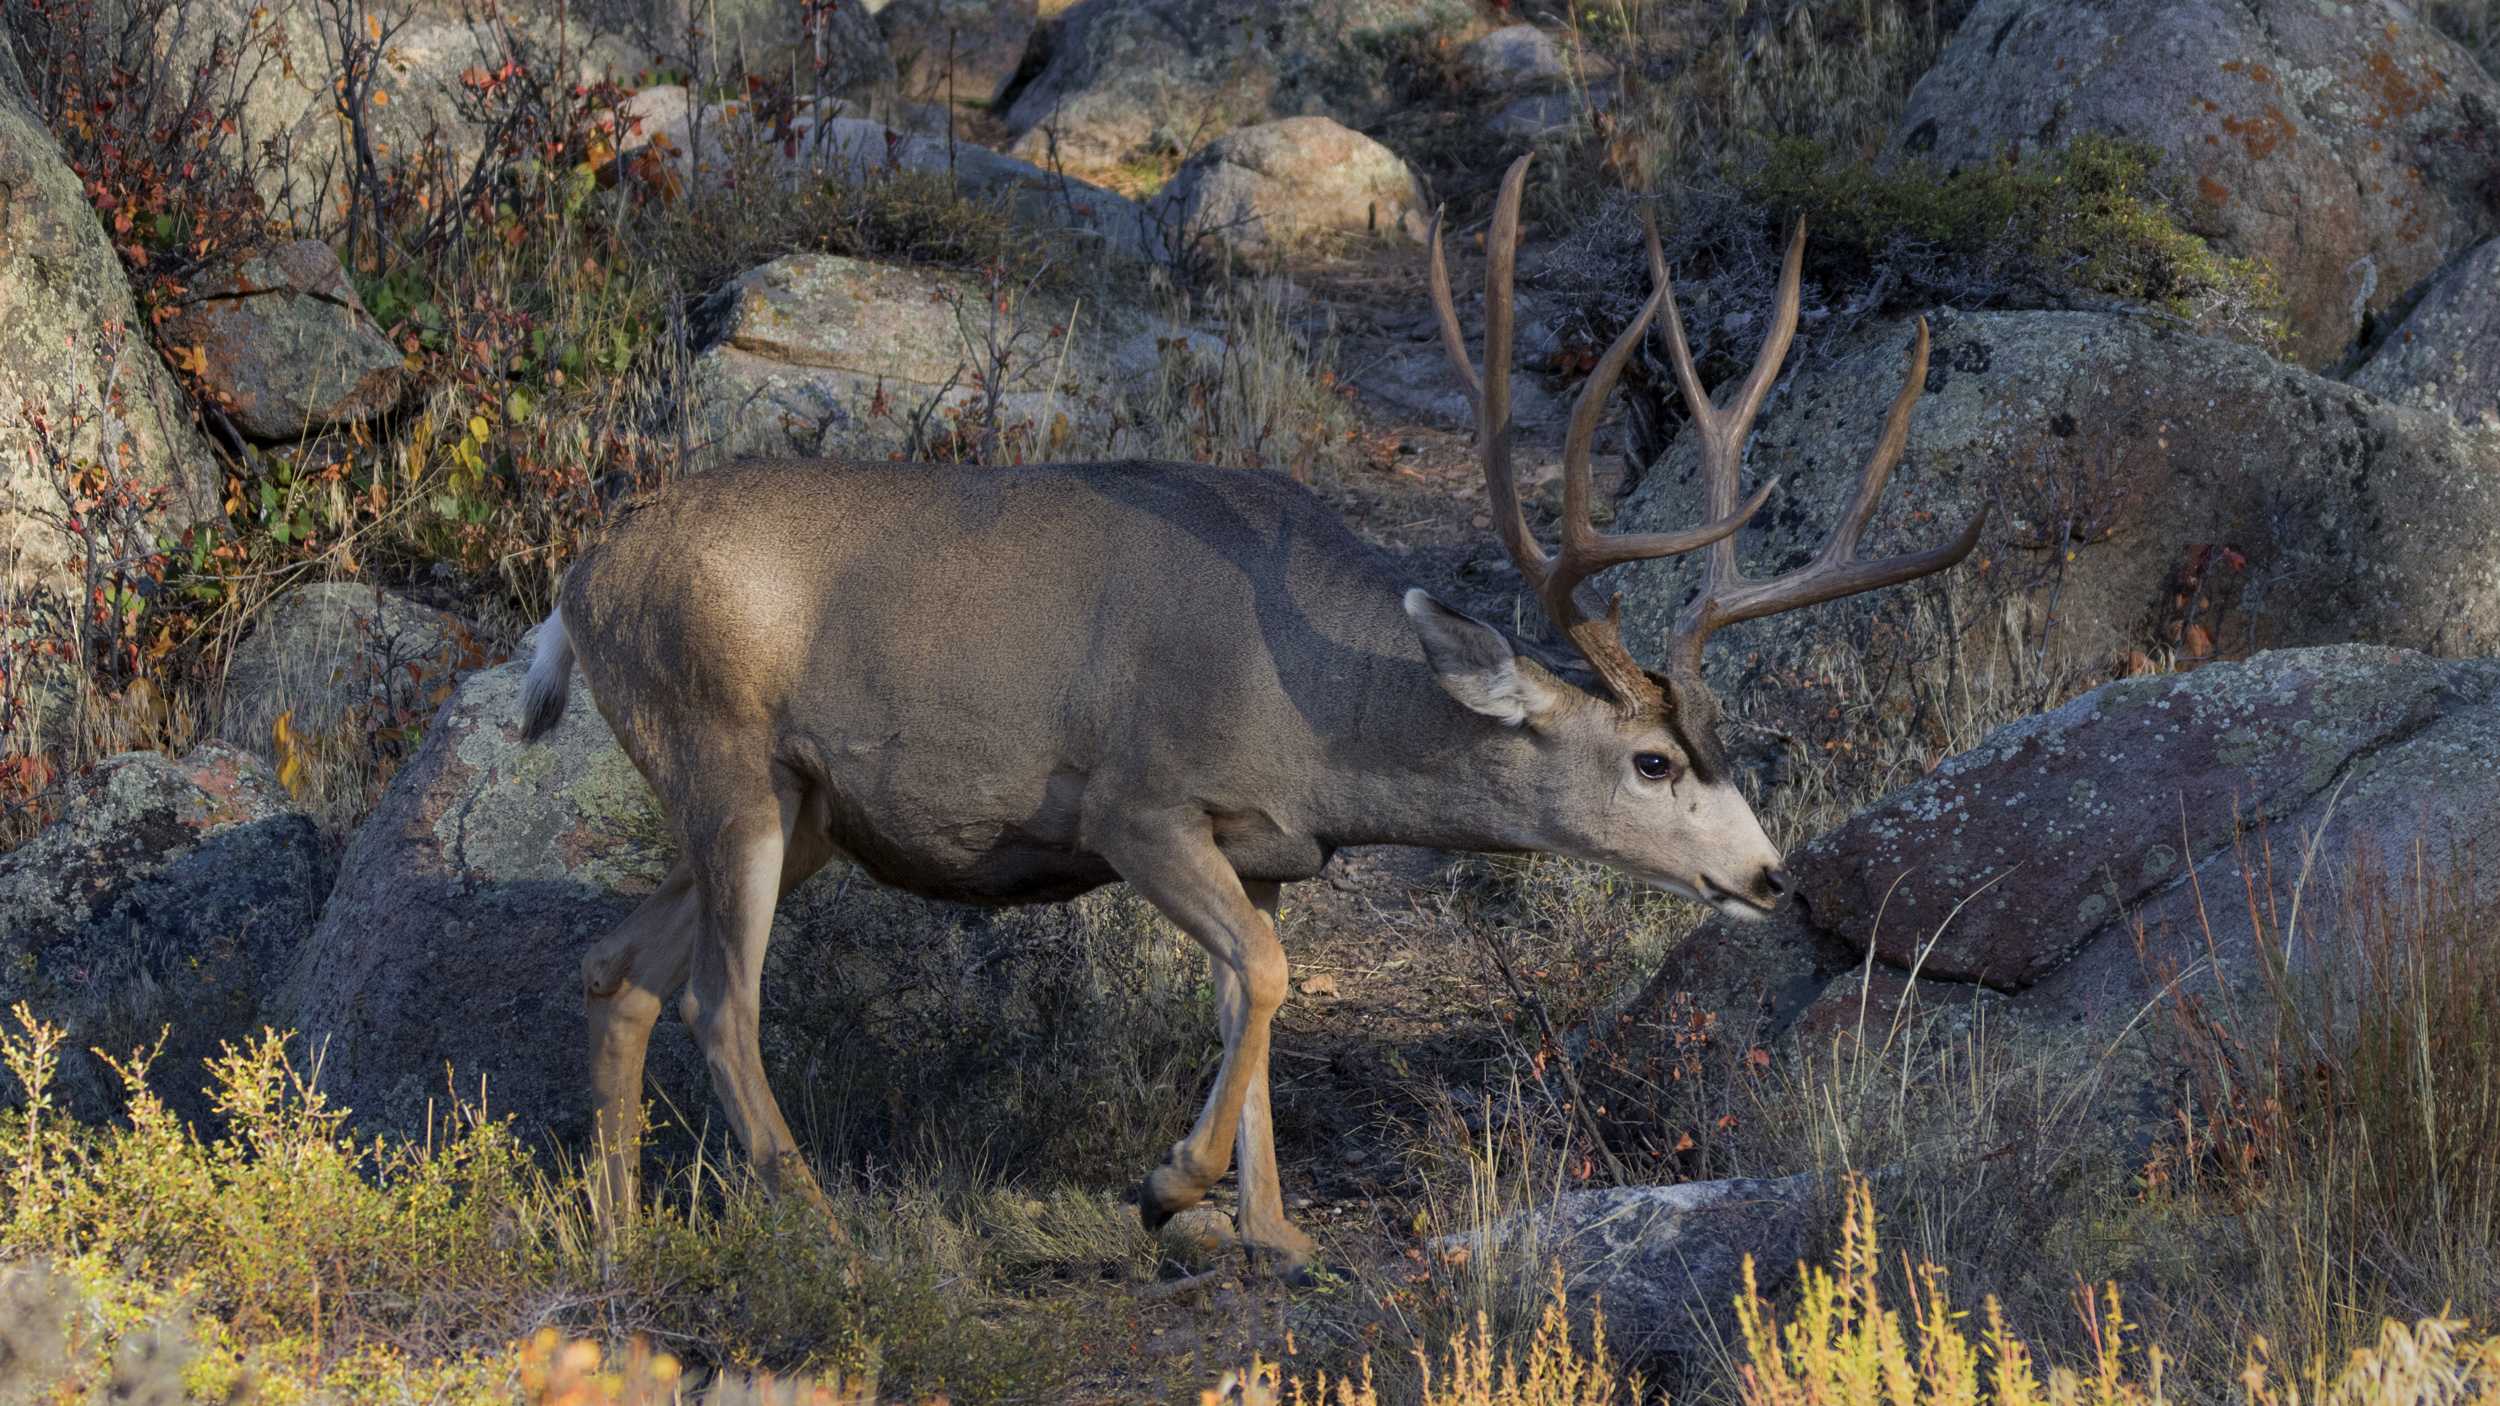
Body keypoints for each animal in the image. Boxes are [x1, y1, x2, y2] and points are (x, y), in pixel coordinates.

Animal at [517, 152, 1983, 1278]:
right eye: (1653, 757)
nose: (1768, 874)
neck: (1318, 710)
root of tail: (579, 583)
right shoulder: (1138, 800)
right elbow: (1268, 981)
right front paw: (1172, 1186)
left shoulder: (1267, 847)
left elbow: (1253, 994)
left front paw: (1274, 1231)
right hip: (725, 759)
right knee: (719, 996)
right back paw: (818, 1226)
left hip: (805, 807)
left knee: (613, 963)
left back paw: (617, 1235)